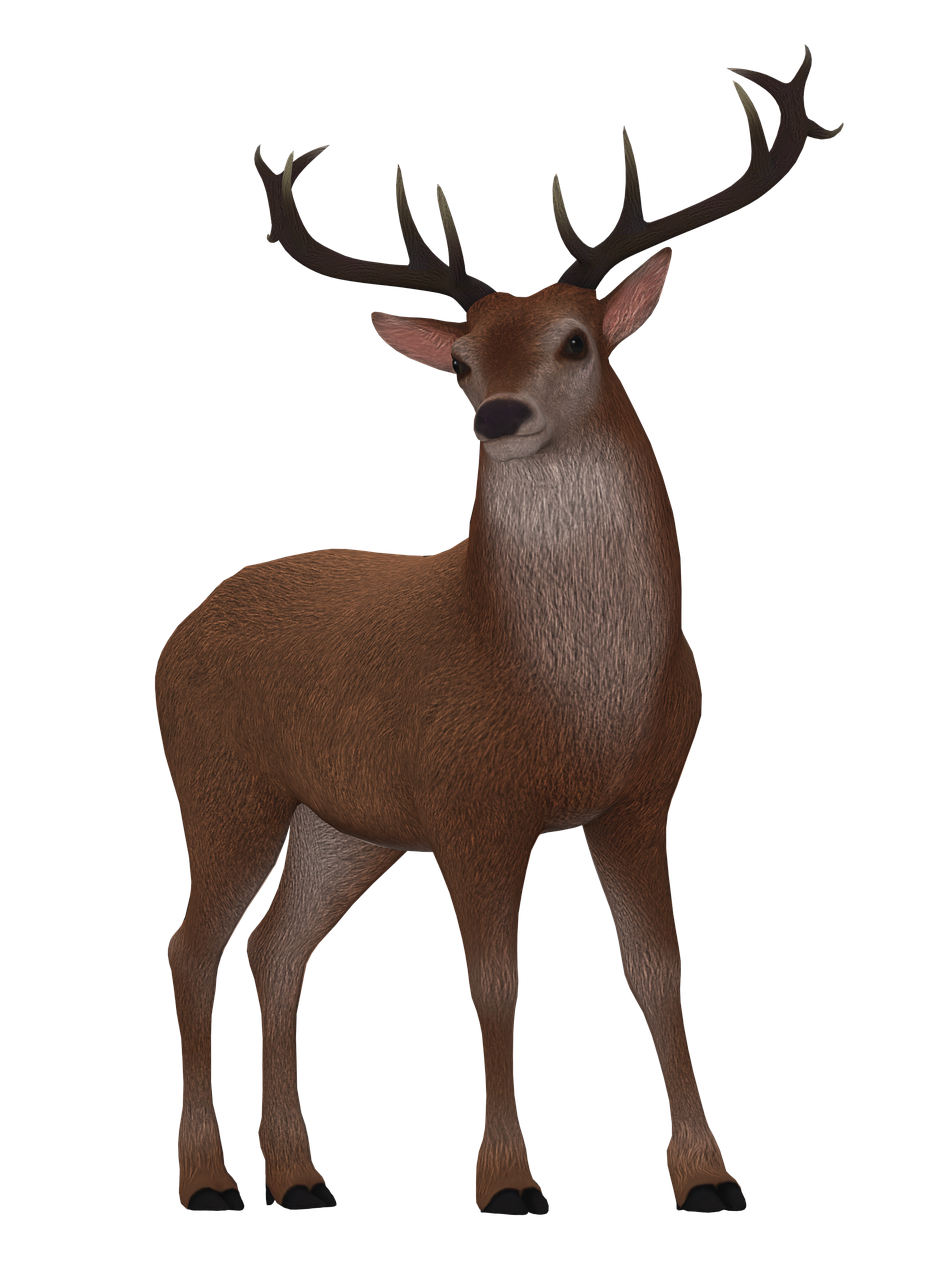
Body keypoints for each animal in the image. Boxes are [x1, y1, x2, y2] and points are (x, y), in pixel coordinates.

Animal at [158, 45, 843, 1213]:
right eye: (460, 363)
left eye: (576, 341)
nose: (498, 416)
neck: (558, 689)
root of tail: (174, 635)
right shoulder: (470, 802)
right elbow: (494, 979)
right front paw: (509, 1180)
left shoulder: (642, 798)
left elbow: (656, 970)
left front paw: (708, 1174)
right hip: (225, 786)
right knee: (191, 946)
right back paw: (208, 1179)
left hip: (345, 827)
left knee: (273, 951)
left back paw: (299, 1176)